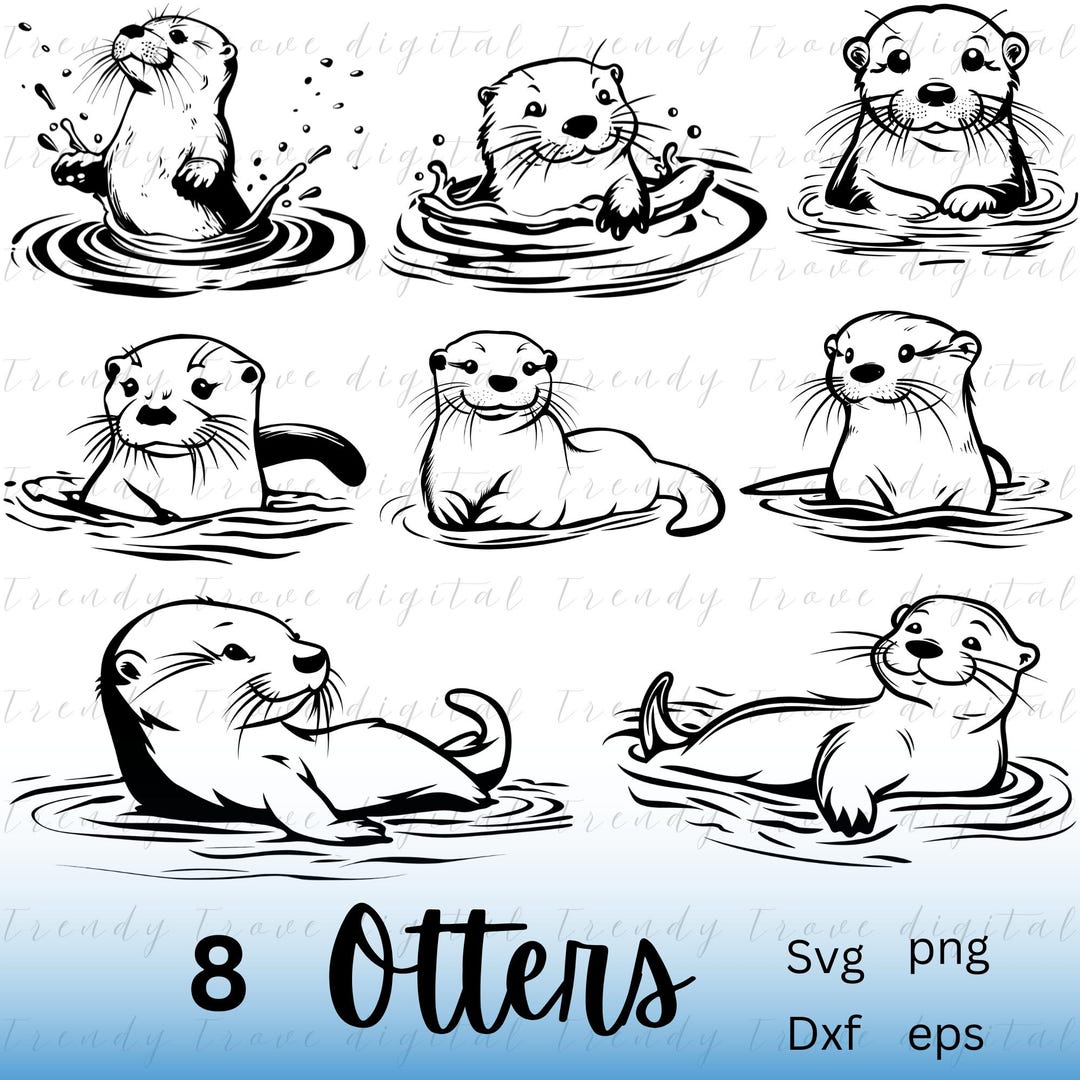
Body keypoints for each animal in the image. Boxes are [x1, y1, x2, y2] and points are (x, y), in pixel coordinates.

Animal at [51, 15, 247, 239]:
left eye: (177, 34)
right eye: (146, 26)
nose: (131, 29)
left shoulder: (215, 135)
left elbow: (217, 159)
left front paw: (196, 172)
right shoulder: (112, 152)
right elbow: (98, 168)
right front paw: (74, 163)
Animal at [421, 331, 724, 536]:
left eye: (528, 367)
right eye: (470, 365)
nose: (503, 380)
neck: (490, 453)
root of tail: (653, 461)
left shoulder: (541, 478)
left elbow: (527, 500)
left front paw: (491, 511)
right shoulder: (439, 462)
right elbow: (439, 494)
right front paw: (453, 510)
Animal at [475, 58, 651, 239]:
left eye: (604, 95)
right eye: (533, 108)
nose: (581, 123)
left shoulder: (624, 173)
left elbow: (628, 184)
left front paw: (623, 215)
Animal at [637, 595, 1038, 836]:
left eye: (973, 642)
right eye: (914, 626)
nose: (922, 645)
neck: (936, 746)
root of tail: (685, 743)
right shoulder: (856, 739)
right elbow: (842, 770)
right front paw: (852, 811)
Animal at [825, 5, 1035, 220]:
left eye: (974, 57)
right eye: (897, 58)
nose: (936, 92)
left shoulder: (1012, 173)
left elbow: (1005, 191)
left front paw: (965, 197)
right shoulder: (853, 175)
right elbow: (868, 191)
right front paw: (914, 203)